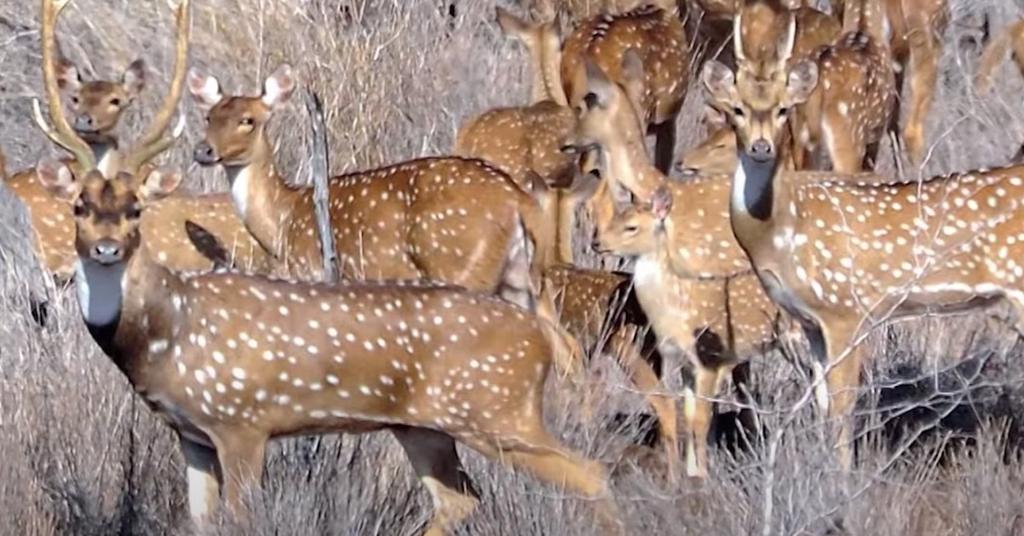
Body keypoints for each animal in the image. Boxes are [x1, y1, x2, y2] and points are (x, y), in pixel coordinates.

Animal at [702, 35, 1024, 469]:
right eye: (737, 109)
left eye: (784, 109)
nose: (761, 146)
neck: (780, 231)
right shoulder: (810, 321)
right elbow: (823, 405)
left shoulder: (845, 309)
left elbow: (842, 407)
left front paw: (842, 476)